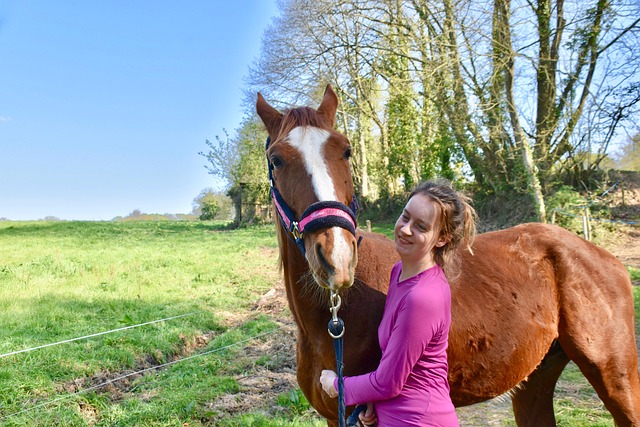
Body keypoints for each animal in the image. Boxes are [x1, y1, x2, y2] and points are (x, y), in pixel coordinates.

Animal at [256, 84, 640, 426]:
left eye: (346, 151)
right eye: (276, 160)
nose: (336, 258)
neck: (334, 318)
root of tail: (602, 257)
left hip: (616, 379)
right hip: (535, 381)